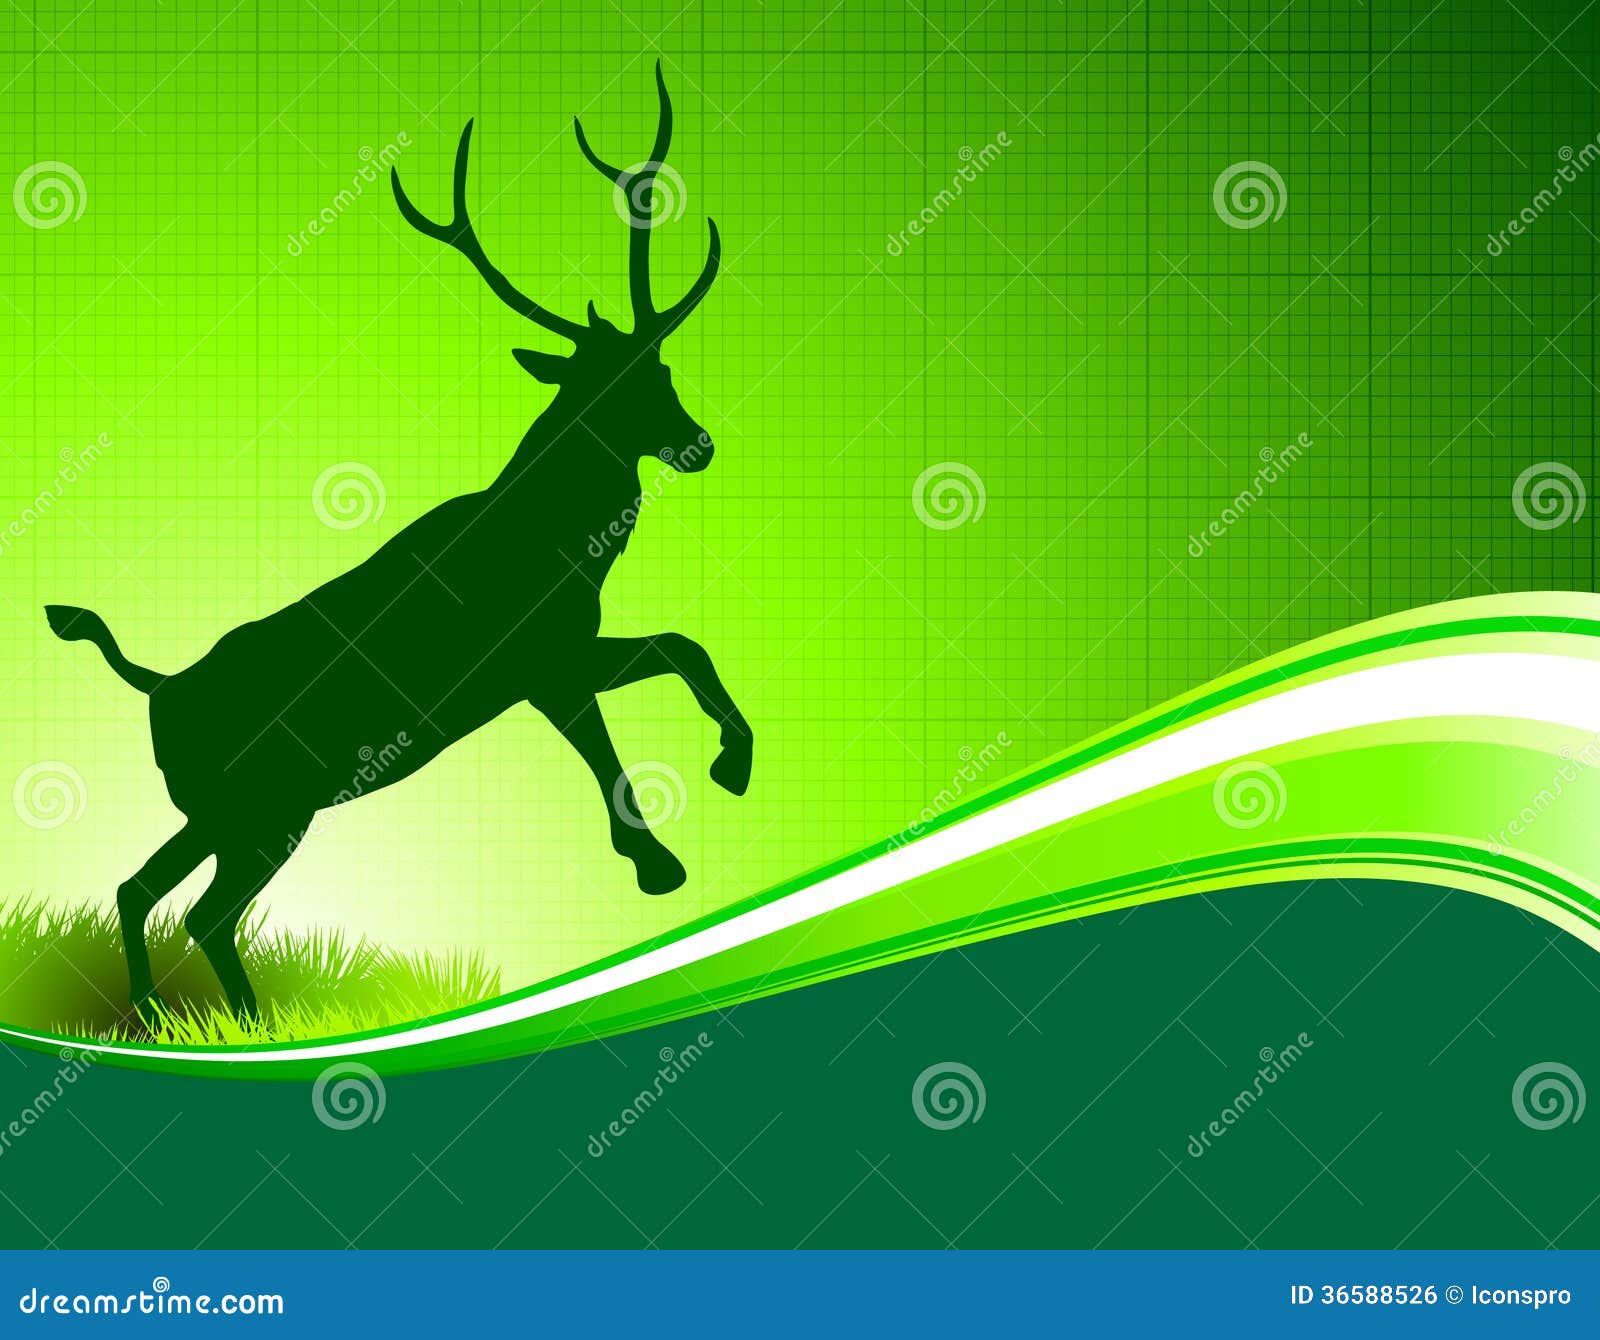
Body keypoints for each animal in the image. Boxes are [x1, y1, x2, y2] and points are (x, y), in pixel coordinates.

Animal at [45, 64, 752, 1025]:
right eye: (604, 387)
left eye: (662, 368)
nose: (698, 446)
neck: (564, 542)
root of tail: (156, 688)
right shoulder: (540, 667)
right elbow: (610, 745)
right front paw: (659, 866)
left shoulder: (565, 650)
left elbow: (683, 644)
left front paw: (732, 768)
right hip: (265, 809)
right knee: (199, 906)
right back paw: (250, 1025)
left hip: (230, 814)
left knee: (144, 888)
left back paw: (177, 1020)